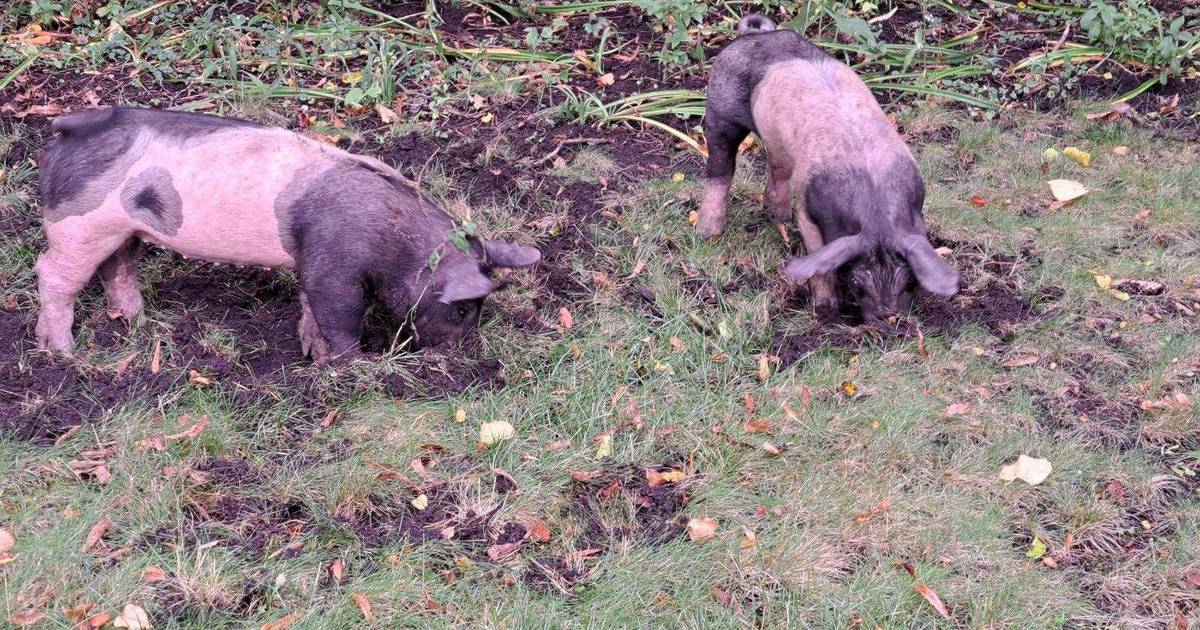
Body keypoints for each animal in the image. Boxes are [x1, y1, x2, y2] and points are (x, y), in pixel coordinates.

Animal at [35, 107, 541, 361]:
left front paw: (311, 353)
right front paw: (350, 366)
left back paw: (142, 326)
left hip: (124, 230)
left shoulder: (313, 262)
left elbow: (311, 308)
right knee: (53, 274)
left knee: (117, 269)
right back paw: (62, 351)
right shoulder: (333, 266)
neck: (403, 247)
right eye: (464, 310)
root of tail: (69, 127)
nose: (454, 356)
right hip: (78, 225)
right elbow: (338, 314)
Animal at [698, 14, 959, 322]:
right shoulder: (808, 212)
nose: (886, 318)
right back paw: (708, 233)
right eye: (858, 284)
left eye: (908, 282)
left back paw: (776, 217)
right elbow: (819, 257)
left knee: (777, 168)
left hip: (777, 144)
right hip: (719, 109)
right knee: (720, 170)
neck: (875, 207)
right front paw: (827, 311)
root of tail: (752, 34)